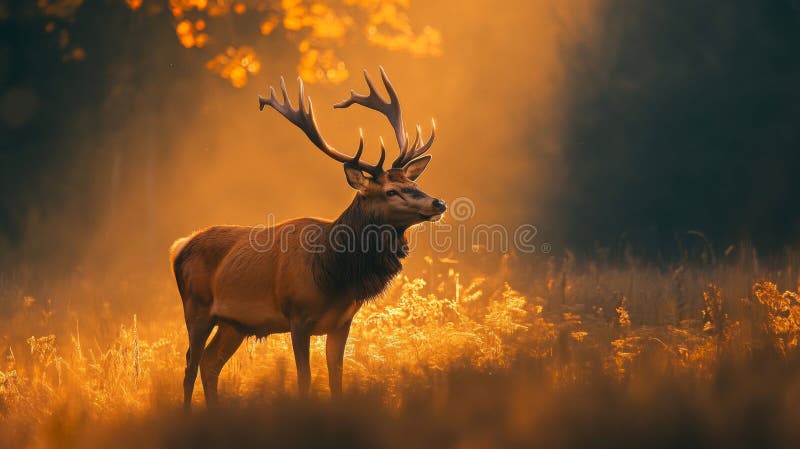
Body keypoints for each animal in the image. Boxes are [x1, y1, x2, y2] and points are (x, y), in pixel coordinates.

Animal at [170, 67, 446, 409]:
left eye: (413, 182)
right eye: (390, 191)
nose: (438, 203)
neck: (333, 273)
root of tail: (180, 247)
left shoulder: (343, 322)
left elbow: (336, 379)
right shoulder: (297, 317)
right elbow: (305, 379)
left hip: (233, 323)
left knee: (209, 364)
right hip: (196, 307)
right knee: (189, 367)